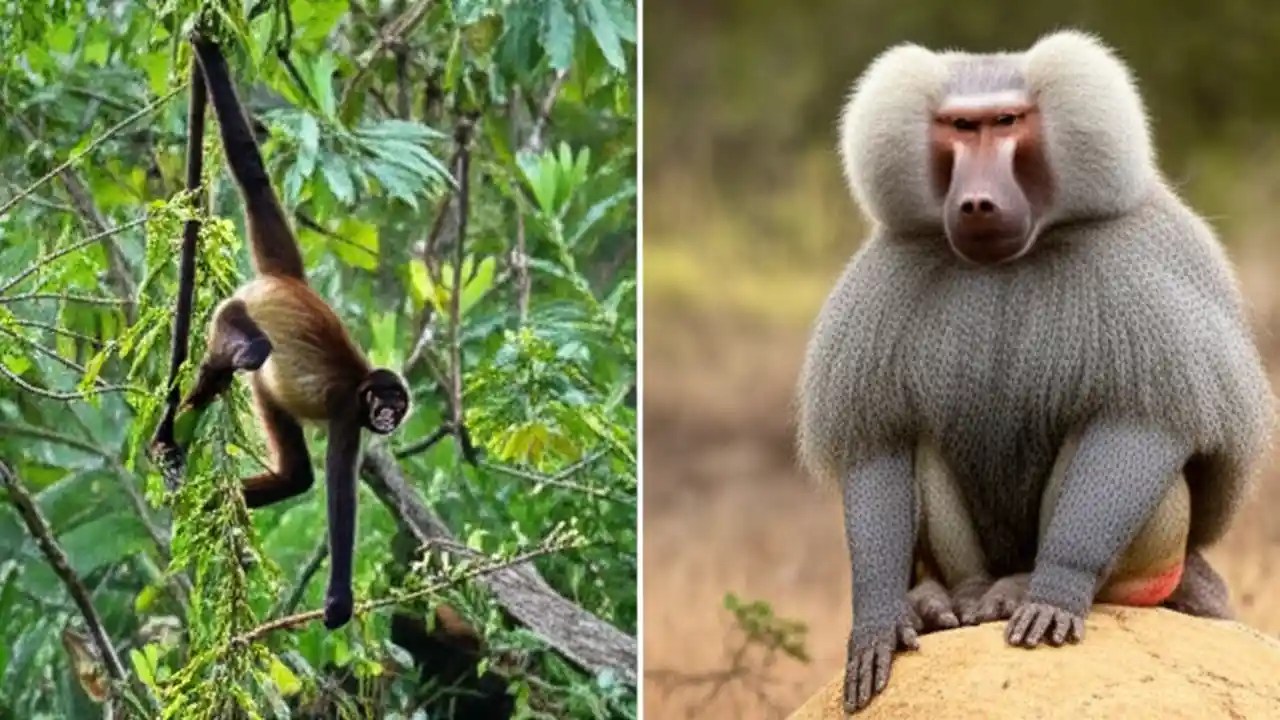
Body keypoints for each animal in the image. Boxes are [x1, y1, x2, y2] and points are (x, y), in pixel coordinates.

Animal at [175, 35, 413, 630]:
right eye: (382, 402)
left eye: (398, 406)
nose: (388, 417)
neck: (362, 388)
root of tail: (286, 280)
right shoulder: (349, 412)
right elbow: (338, 493)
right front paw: (339, 600)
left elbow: (313, 482)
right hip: (237, 315)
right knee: (245, 344)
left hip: (268, 390)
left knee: (293, 474)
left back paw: (202, 502)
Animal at [796, 30, 1273, 713]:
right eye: (960, 127)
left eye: (1007, 122)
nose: (976, 202)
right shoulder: (886, 279)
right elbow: (878, 442)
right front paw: (879, 622)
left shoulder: (1143, 263)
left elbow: (1144, 423)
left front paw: (1055, 592)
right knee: (924, 448)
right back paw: (951, 598)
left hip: (1162, 557)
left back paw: (1026, 589)